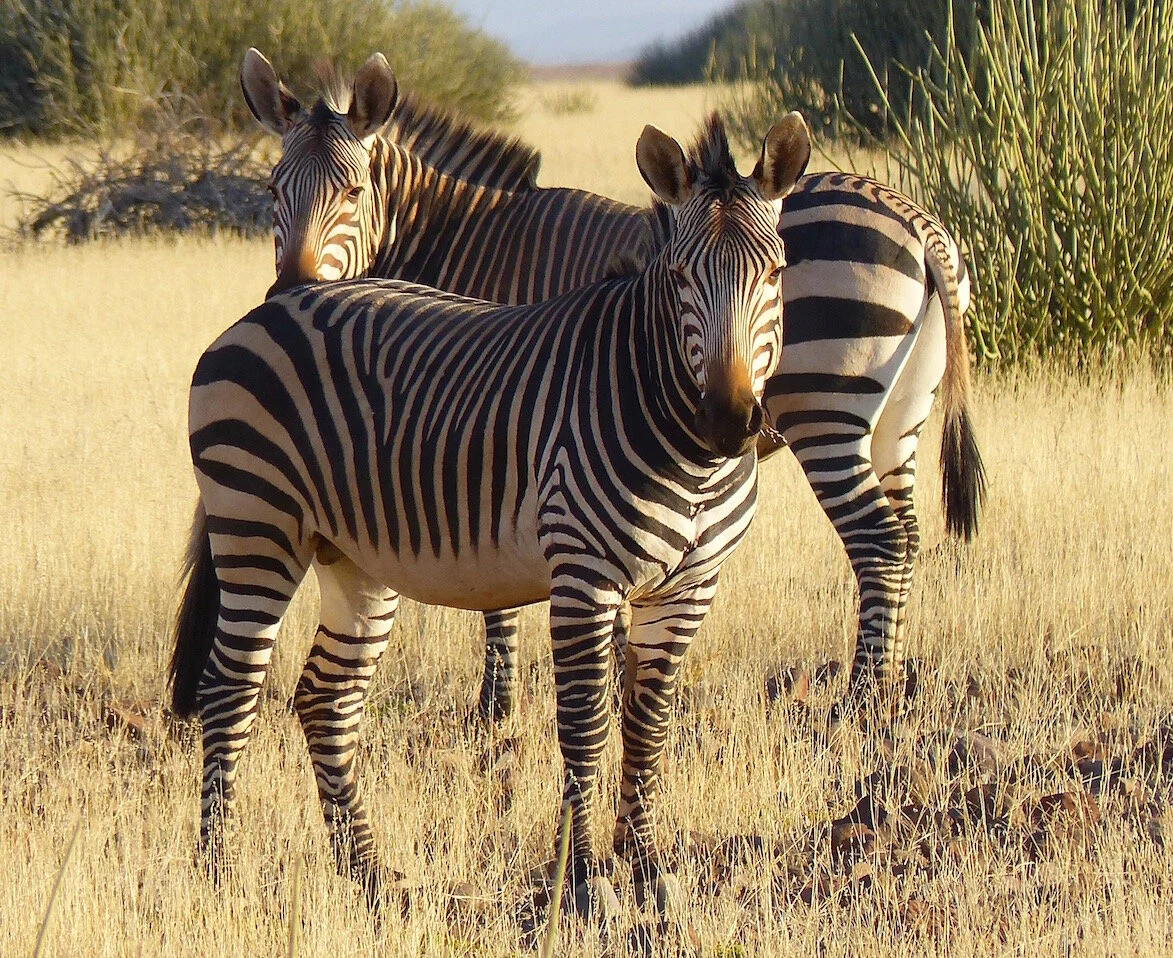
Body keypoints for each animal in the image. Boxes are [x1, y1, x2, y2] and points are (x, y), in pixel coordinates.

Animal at [169, 112, 812, 912]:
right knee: (229, 691)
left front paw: (647, 869)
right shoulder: (584, 576)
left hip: (353, 554)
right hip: (257, 526)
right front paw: (583, 881)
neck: (685, 446)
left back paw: (367, 872)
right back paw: (216, 870)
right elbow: (585, 725)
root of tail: (269, 308)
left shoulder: (690, 587)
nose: (728, 421)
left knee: (325, 698)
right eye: (680, 277)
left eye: (775, 274)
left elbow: (649, 726)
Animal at [241, 48, 986, 718]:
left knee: (877, 540)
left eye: (352, 192)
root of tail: (916, 221)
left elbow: (501, 598)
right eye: (273, 191)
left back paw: (862, 698)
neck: (460, 239)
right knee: (908, 536)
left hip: (825, 411)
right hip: (898, 418)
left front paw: (496, 707)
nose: (293, 291)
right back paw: (895, 683)